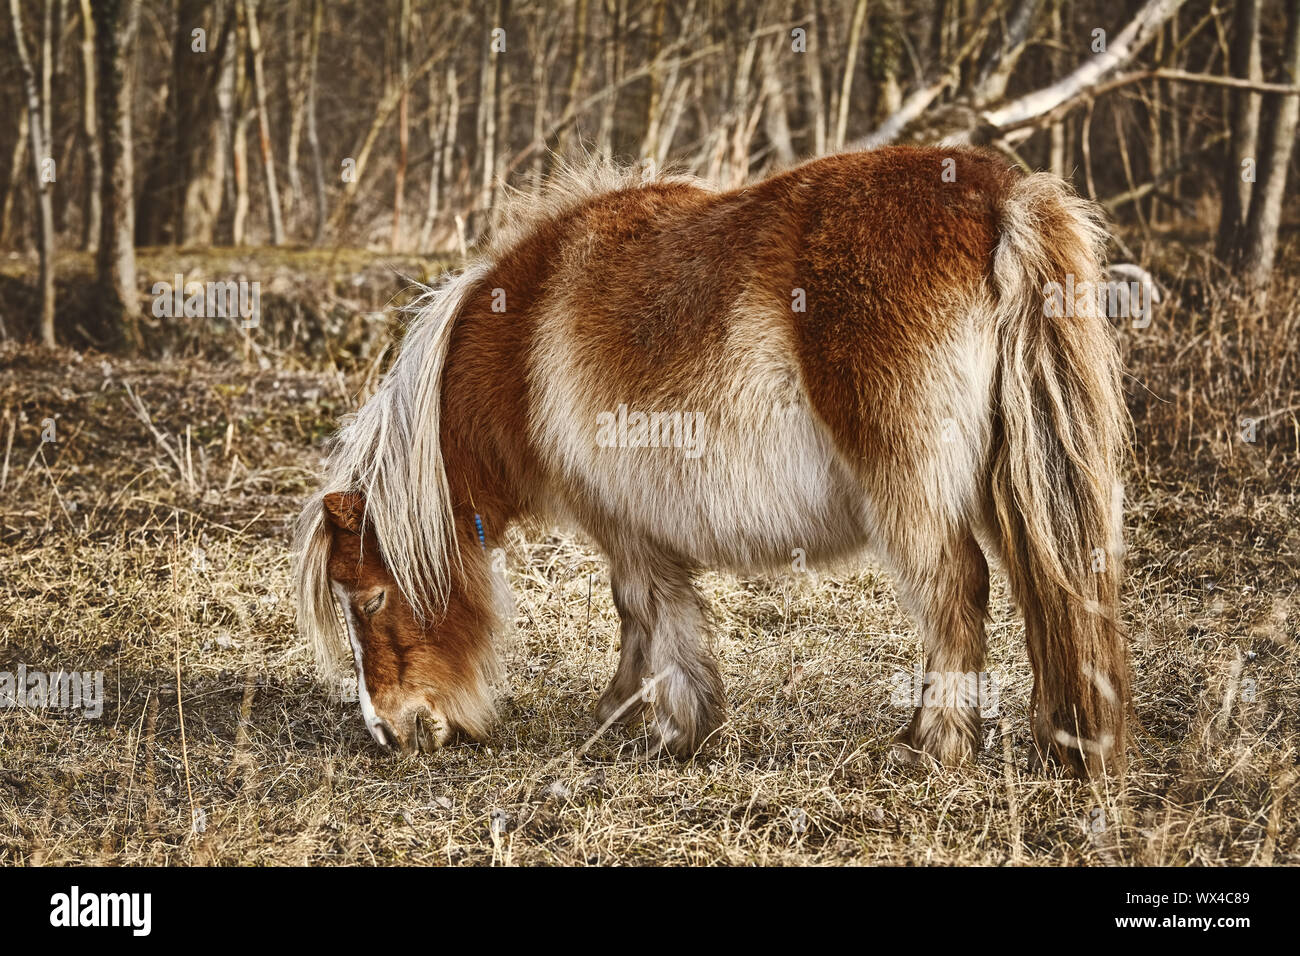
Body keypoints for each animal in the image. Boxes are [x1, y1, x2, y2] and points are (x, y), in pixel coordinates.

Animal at [294, 145, 1130, 776]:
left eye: (371, 599)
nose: (389, 732)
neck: (520, 340)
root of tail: (1000, 195)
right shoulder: (635, 520)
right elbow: (645, 616)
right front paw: (629, 718)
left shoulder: (620, 519)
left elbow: (647, 609)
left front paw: (664, 725)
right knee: (1048, 586)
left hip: (912, 489)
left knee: (957, 589)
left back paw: (931, 747)